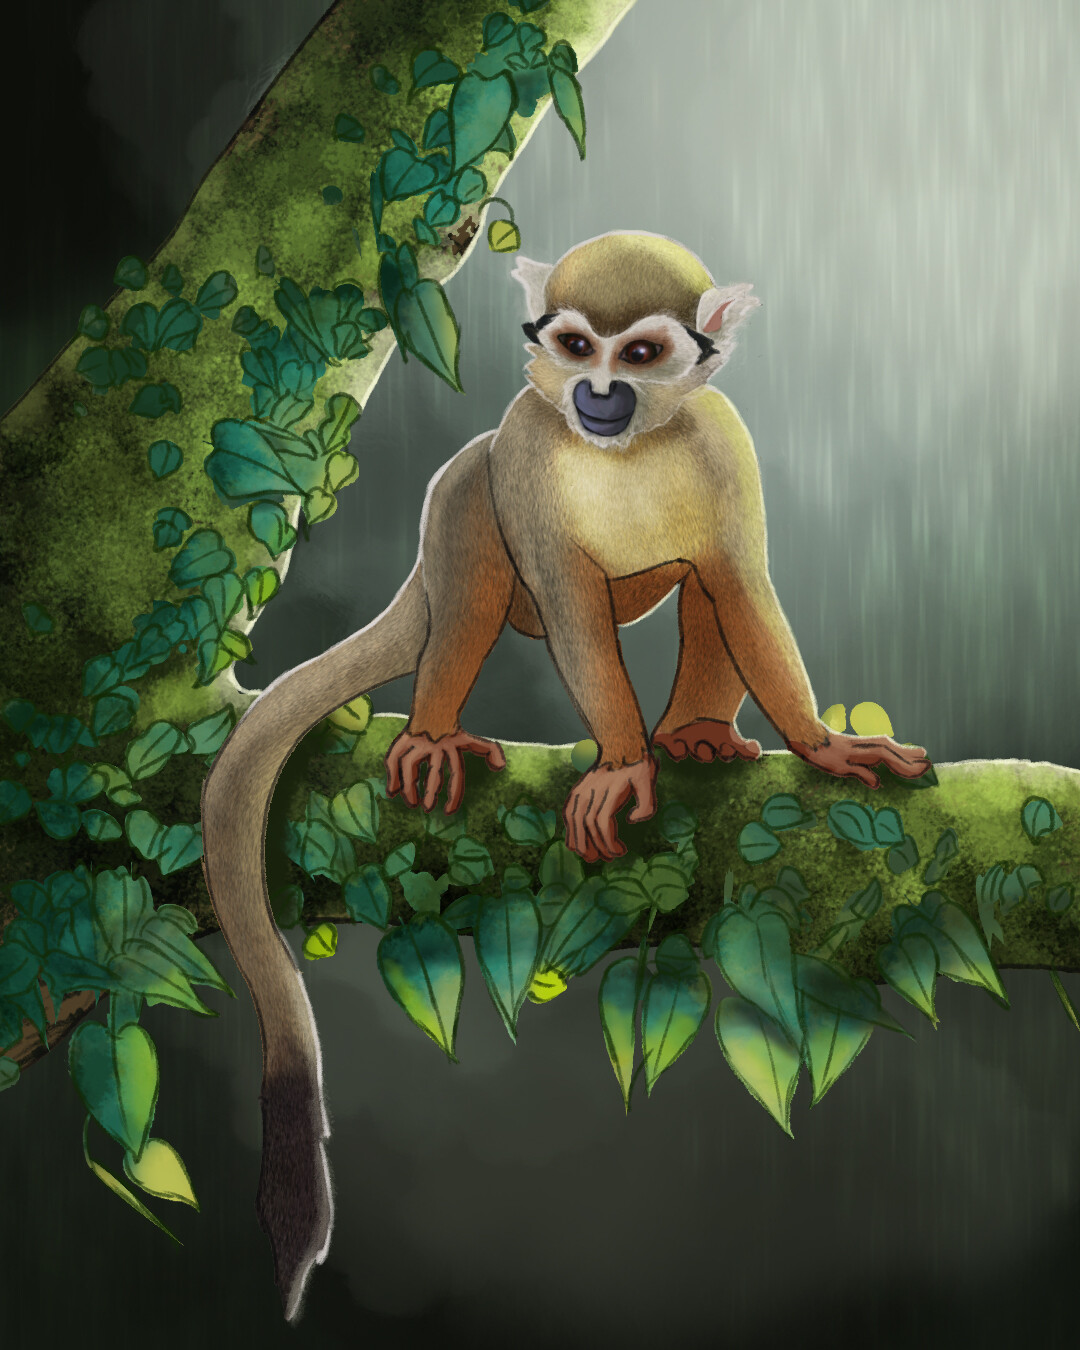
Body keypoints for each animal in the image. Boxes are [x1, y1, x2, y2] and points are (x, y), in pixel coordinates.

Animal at [199, 230, 931, 1320]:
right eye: (579, 345)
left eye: (643, 355)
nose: (597, 393)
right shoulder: (526, 444)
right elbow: (564, 586)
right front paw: (624, 765)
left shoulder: (727, 439)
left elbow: (741, 580)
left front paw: (818, 744)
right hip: (473, 495)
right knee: (474, 531)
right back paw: (435, 727)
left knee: (699, 568)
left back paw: (696, 732)